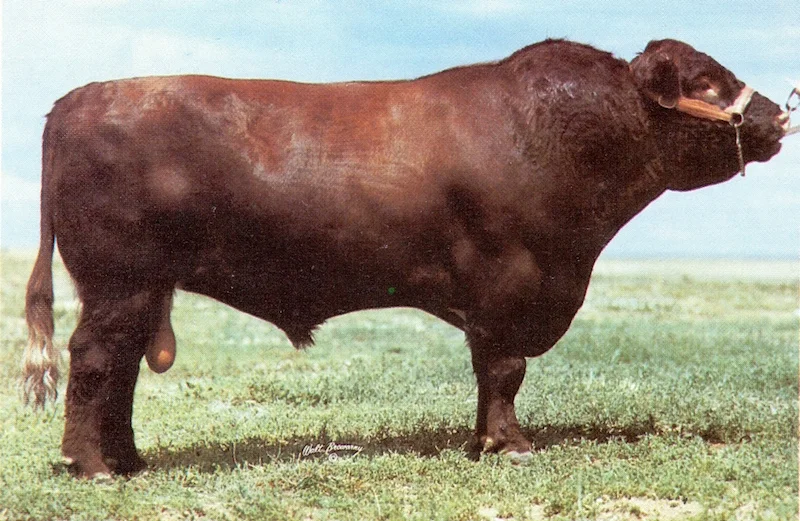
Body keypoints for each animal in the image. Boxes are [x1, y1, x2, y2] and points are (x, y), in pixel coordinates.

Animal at [22, 38, 794, 478]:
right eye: (706, 79)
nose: (779, 115)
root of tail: (79, 99)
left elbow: (491, 372)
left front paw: (485, 440)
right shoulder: (506, 284)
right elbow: (505, 369)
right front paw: (511, 444)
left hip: (140, 289)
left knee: (122, 370)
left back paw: (128, 459)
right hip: (121, 282)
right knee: (95, 362)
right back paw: (92, 464)